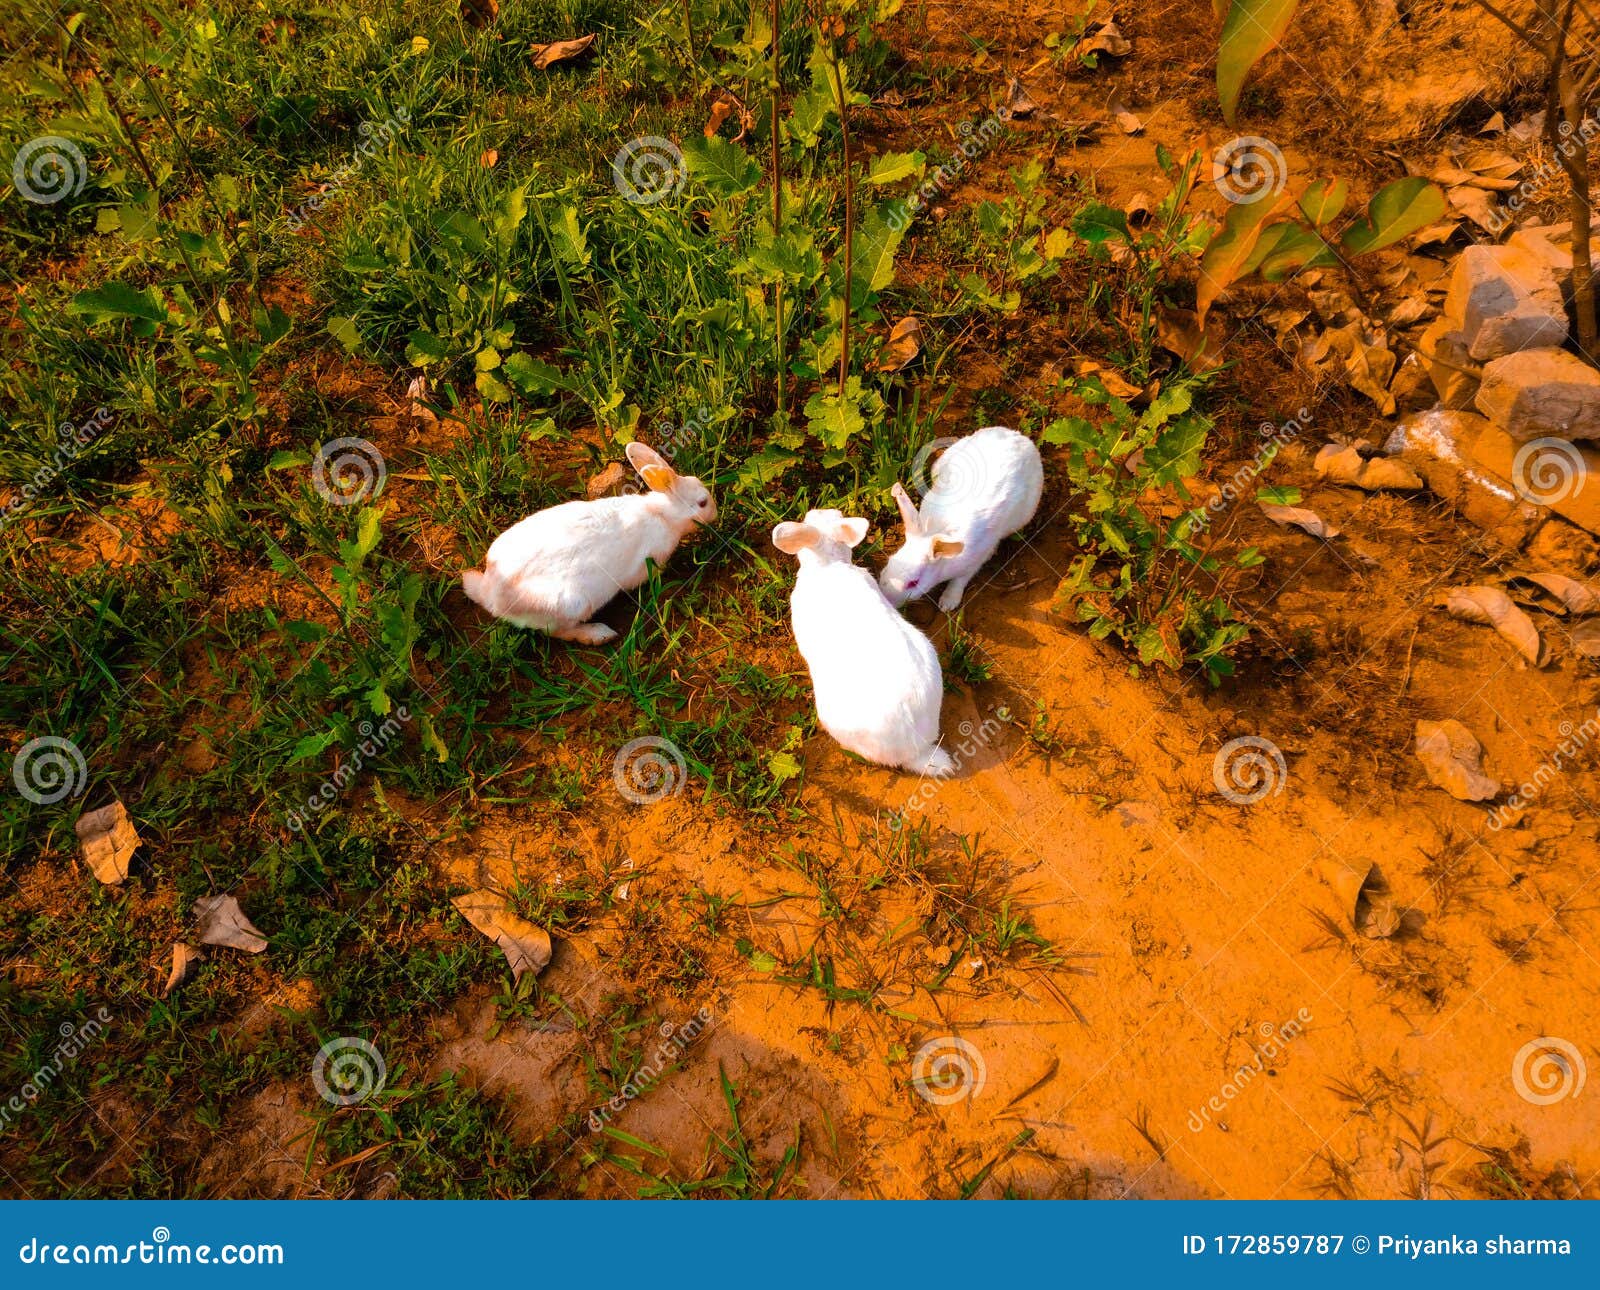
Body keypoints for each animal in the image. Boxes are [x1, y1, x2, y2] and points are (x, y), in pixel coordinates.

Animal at [462, 442, 715, 644]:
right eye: (702, 503)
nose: (715, 512)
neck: (663, 514)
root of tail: (491, 595)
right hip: (573, 604)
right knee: (558, 631)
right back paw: (599, 634)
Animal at [879, 426, 1043, 611]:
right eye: (889, 562)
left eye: (914, 583)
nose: (887, 600)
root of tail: (1016, 435)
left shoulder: (972, 564)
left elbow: (959, 581)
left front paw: (947, 603)